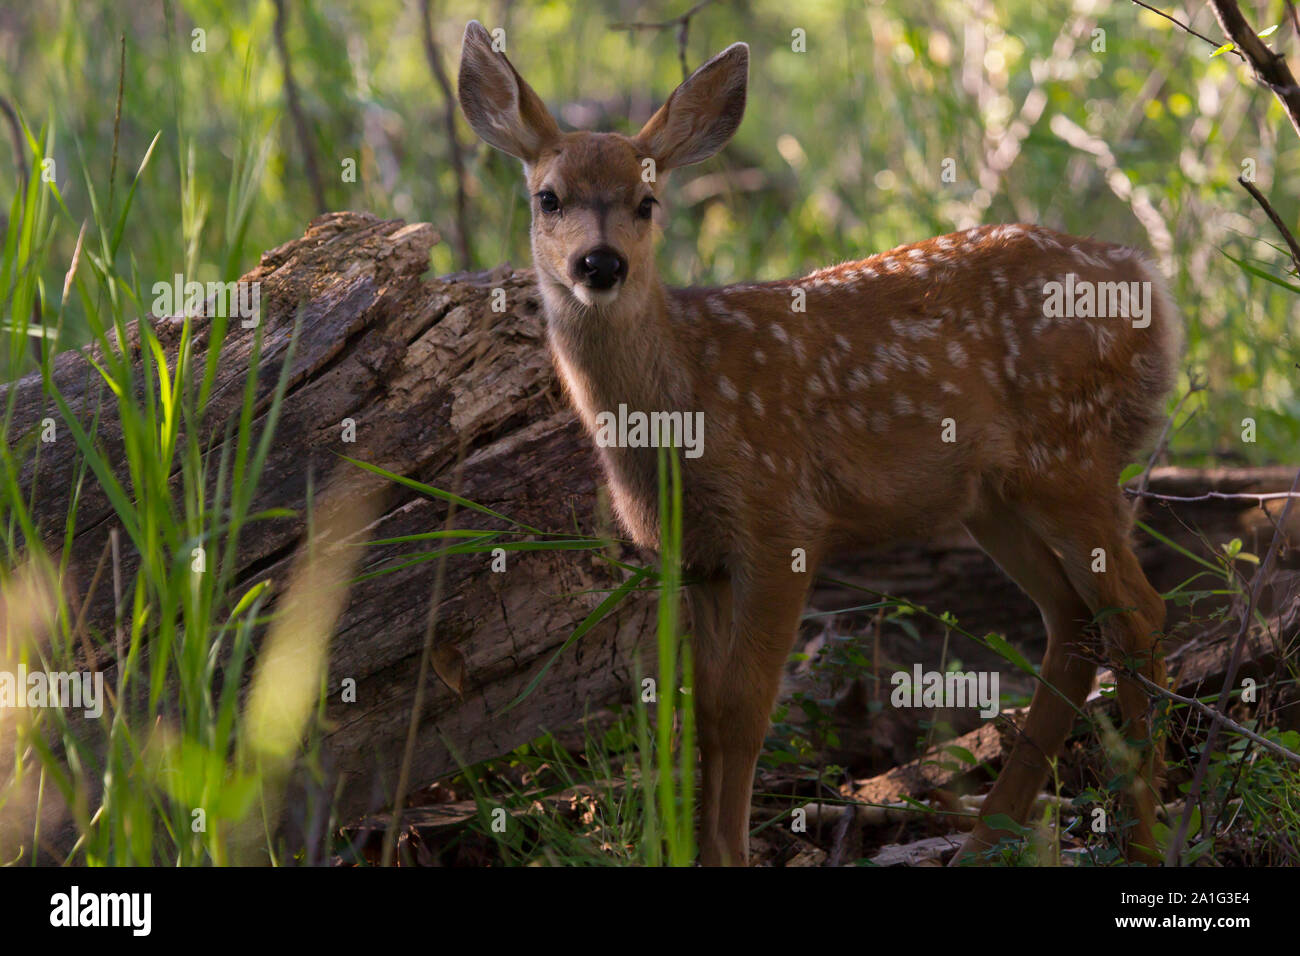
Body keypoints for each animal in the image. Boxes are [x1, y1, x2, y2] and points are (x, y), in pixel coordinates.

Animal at [457, 20, 1180, 866]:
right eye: (548, 198)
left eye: (647, 200)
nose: (599, 263)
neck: (680, 412)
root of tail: (1151, 285)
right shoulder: (698, 557)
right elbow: (705, 713)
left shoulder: (780, 522)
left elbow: (743, 710)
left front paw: (732, 855)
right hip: (995, 498)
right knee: (1074, 623)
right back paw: (984, 839)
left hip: (1070, 458)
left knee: (1139, 614)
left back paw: (1144, 841)